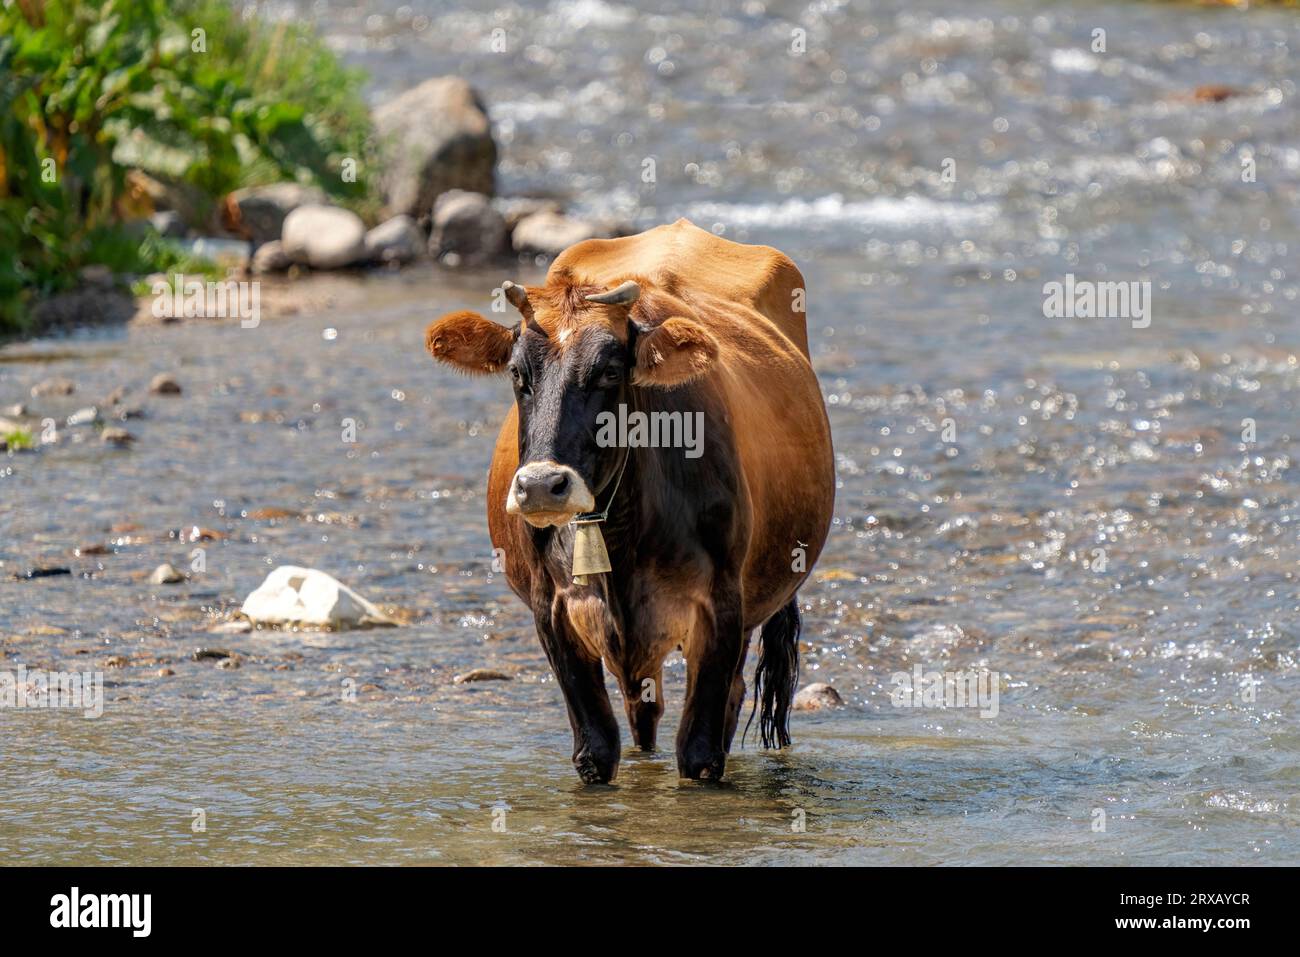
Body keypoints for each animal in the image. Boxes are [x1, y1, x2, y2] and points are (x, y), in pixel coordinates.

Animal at [425, 218, 834, 783]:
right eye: (516, 374)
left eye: (609, 372)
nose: (542, 486)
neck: (617, 529)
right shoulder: (551, 608)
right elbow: (595, 749)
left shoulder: (722, 605)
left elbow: (700, 751)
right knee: (644, 708)